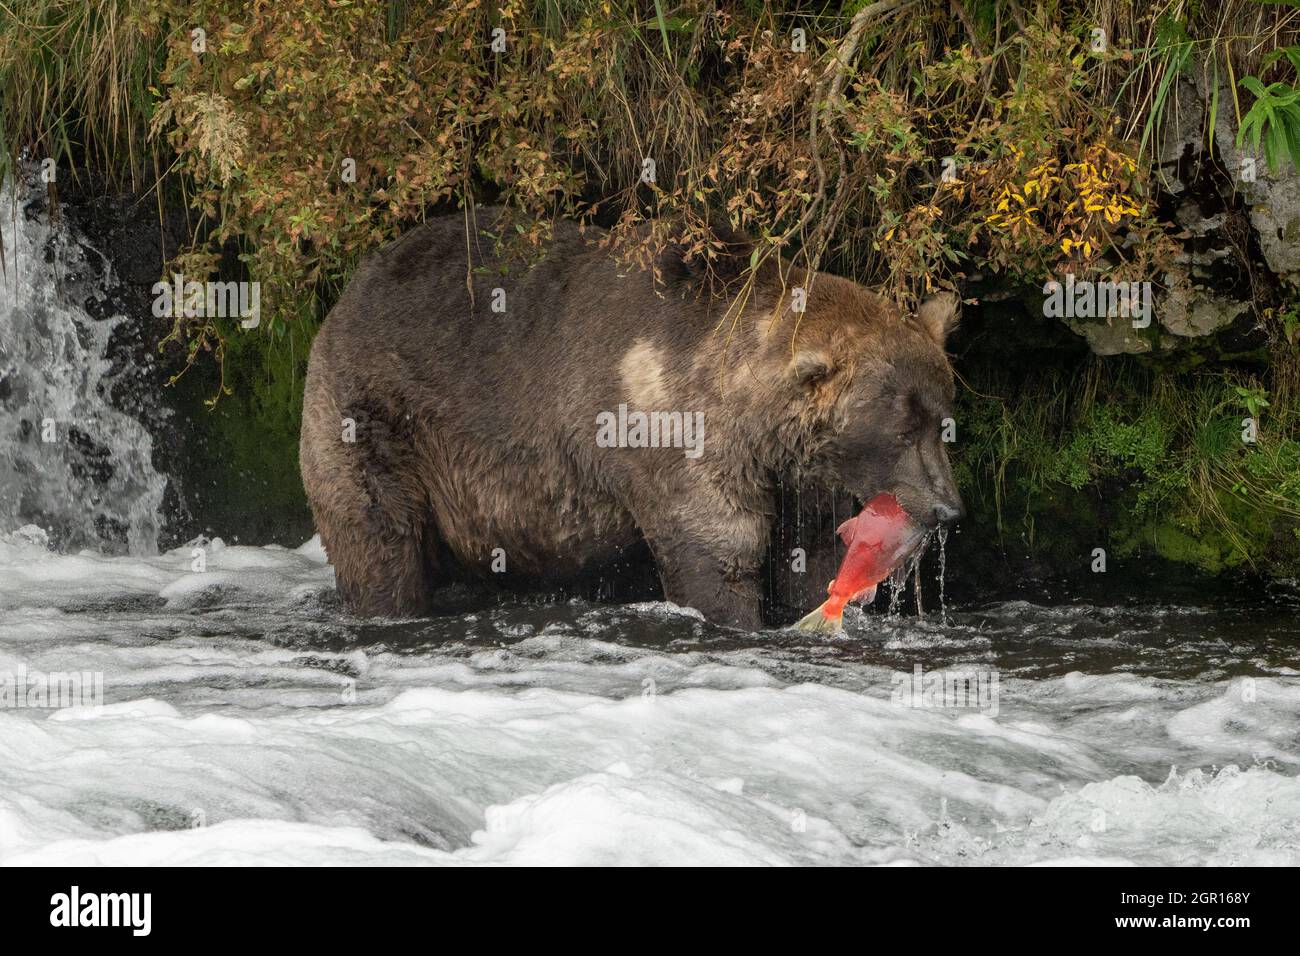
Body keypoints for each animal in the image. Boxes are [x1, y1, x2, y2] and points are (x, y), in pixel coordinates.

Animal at [299, 206, 963, 628]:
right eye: (901, 429)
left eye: (942, 420)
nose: (948, 508)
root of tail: (349, 290)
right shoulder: (676, 435)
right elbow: (720, 552)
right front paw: (737, 614)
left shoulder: (800, 474)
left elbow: (810, 554)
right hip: (377, 416)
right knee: (378, 537)